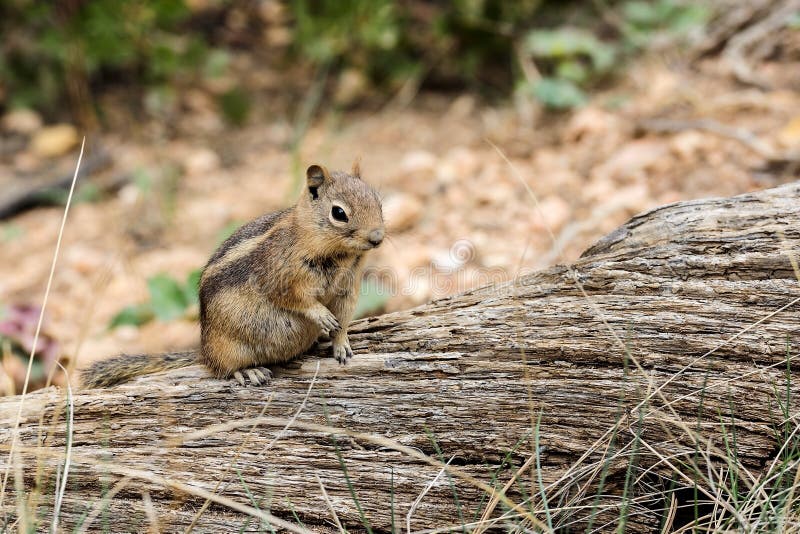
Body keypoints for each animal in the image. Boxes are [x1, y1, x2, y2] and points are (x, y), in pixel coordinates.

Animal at [81, 163, 385, 388]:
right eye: (339, 213)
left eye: (378, 201)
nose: (378, 238)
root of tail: (204, 351)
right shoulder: (279, 273)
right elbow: (294, 298)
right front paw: (320, 315)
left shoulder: (348, 287)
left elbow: (344, 318)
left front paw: (341, 344)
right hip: (228, 347)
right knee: (222, 369)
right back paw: (247, 371)